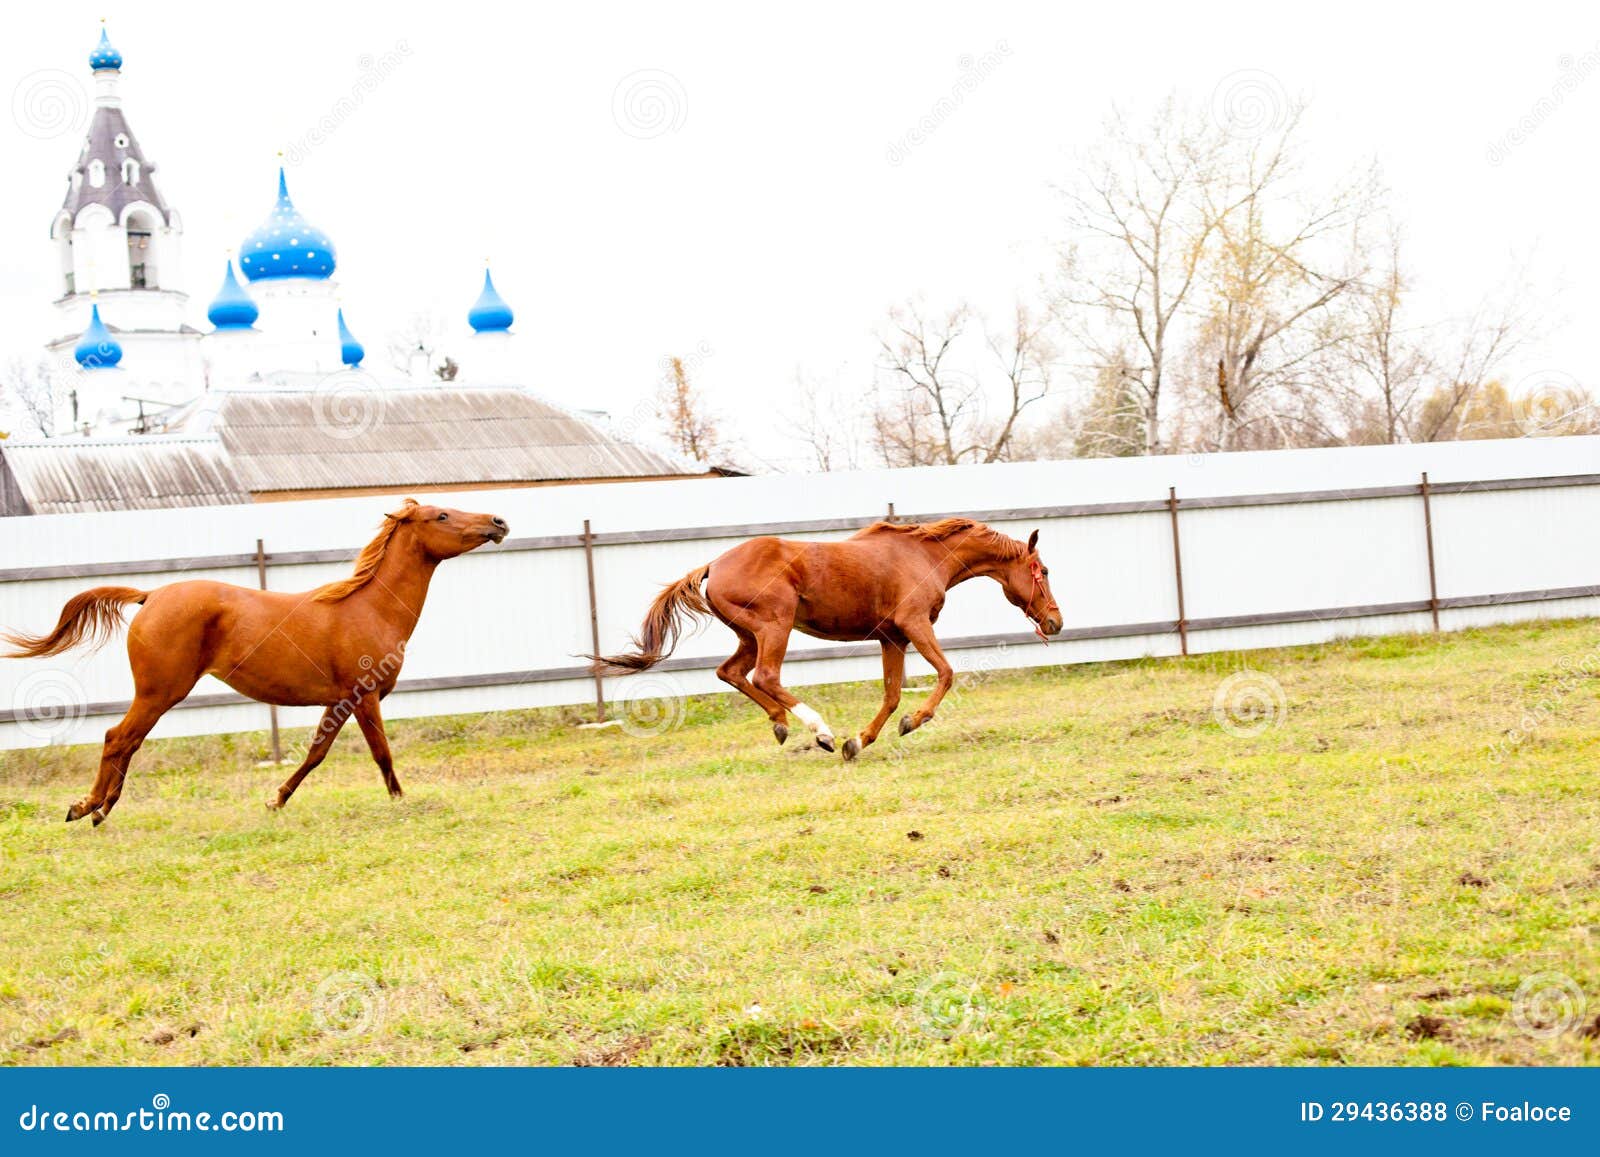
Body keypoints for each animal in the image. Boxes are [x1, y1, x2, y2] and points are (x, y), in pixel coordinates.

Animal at [1, 499, 507, 825]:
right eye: (442, 515)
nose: (498, 521)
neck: (368, 608)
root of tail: (151, 595)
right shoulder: (365, 697)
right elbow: (381, 753)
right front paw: (401, 802)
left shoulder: (340, 701)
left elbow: (316, 754)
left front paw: (276, 800)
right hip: (160, 691)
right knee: (116, 738)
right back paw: (87, 807)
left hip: (159, 695)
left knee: (128, 743)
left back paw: (102, 809)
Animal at [594, 517, 1061, 759]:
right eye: (1044, 571)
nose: (1056, 621)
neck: (924, 555)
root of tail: (713, 565)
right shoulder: (914, 625)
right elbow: (946, 674)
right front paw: (912, 722)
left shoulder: (892, 638)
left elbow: (892, 693)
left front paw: (860, 741)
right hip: (774, 627)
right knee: (765, 676)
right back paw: (820, 732)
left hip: (748, 635)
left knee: (730, 673)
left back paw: (781, 724)